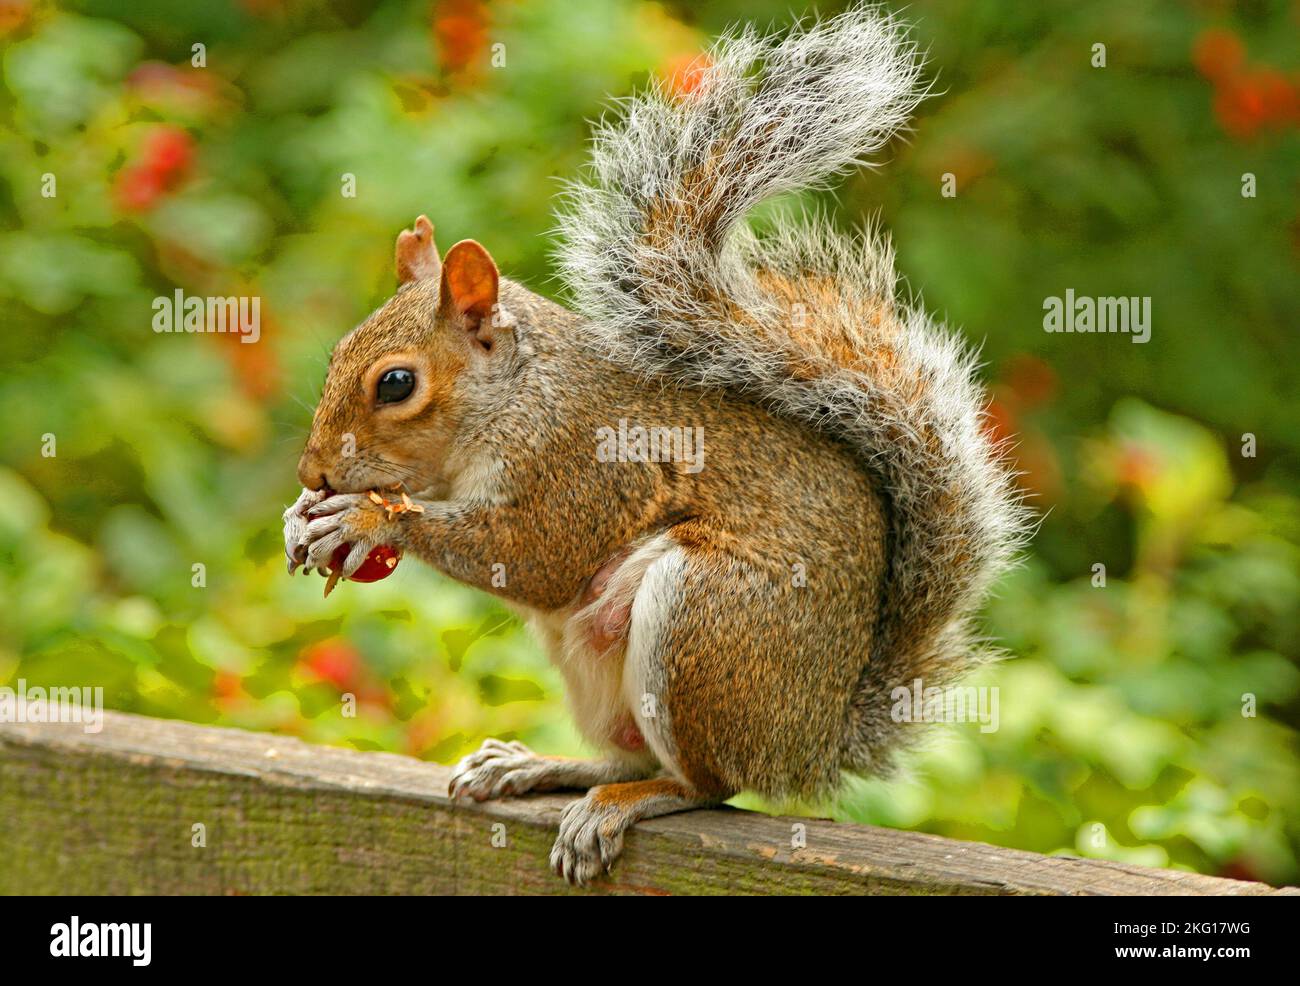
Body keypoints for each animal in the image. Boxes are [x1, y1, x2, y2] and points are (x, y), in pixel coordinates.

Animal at [282, 7, 1028, 886]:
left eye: (396, 383)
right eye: (336, 354)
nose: (313, 470)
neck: (520, 396)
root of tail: (813, 742)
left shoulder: (582, 464)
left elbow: (535, 555)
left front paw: (368, 520)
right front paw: (305, 516)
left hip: (705, 621)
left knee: (706, 783)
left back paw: (625, 803)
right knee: (629, 753)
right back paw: (537, 767)